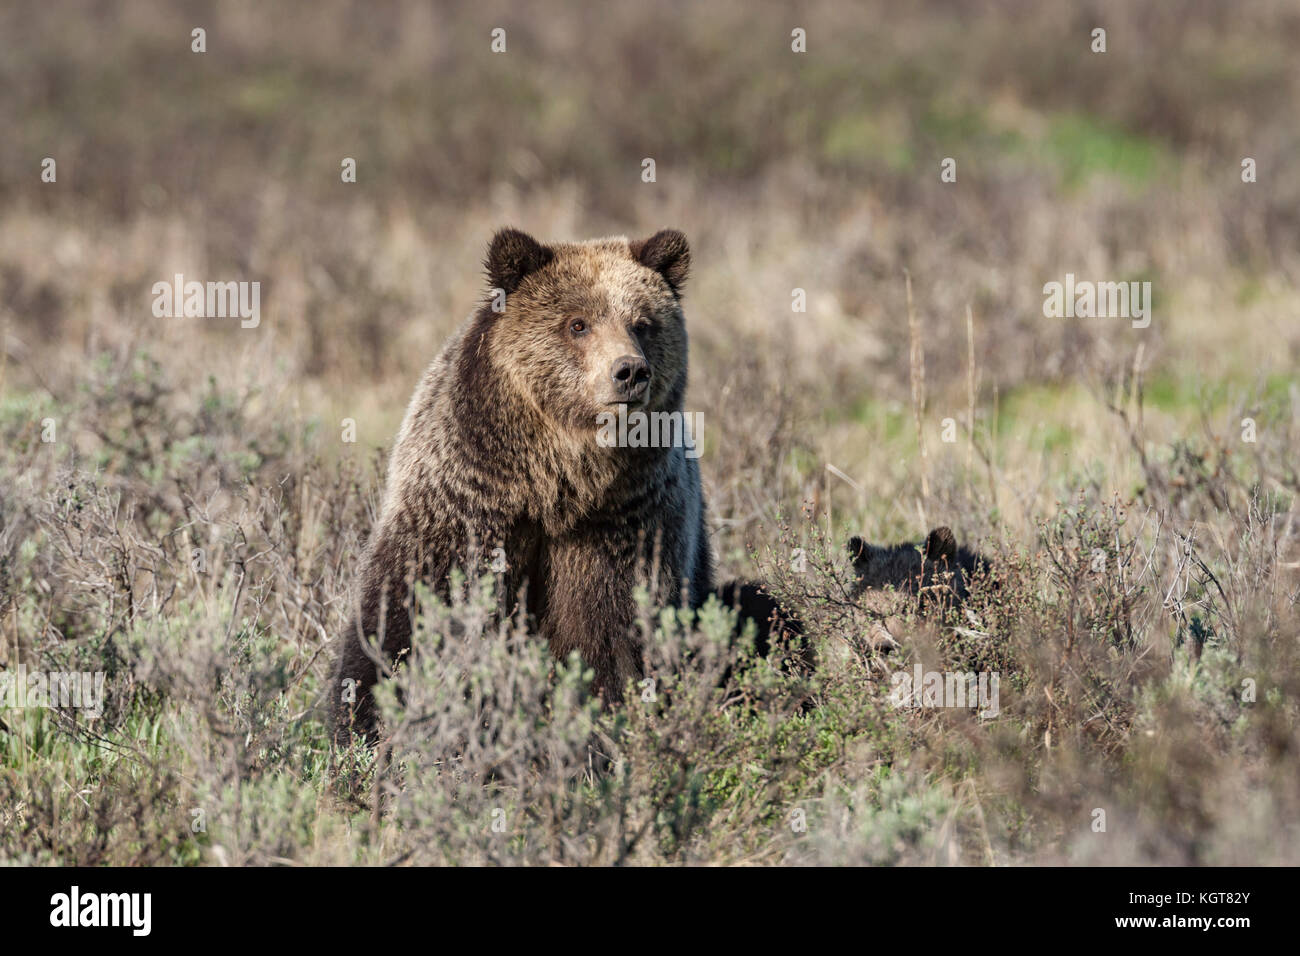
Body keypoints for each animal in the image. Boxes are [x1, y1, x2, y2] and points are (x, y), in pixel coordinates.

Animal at [331, 228, 713, 742]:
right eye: (578, 324)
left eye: (643, 323)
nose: (630, 371)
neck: (557, 485)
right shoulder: (470, 506)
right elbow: (409, 612)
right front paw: (366, 719)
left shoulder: (624, 523)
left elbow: (612, 634)